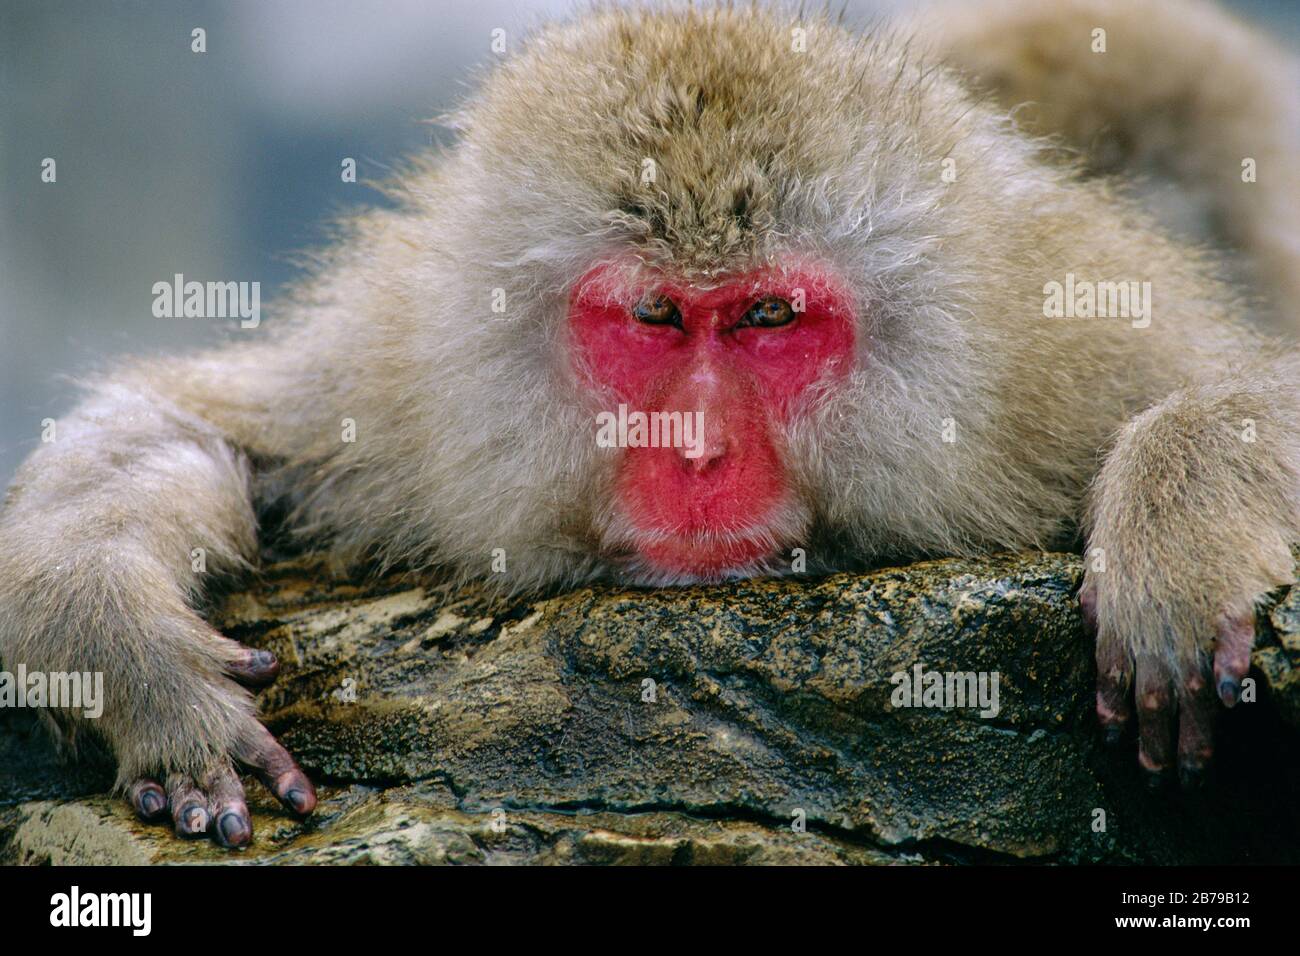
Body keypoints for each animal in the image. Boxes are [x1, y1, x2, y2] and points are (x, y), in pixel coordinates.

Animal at [2, 0, 1298, 848]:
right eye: (656, 315)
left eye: (768, 317)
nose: (698, 452)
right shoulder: (397, 382)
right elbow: (201, 421)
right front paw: (124, 647)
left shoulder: (1053, 360)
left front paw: (1175, 541)